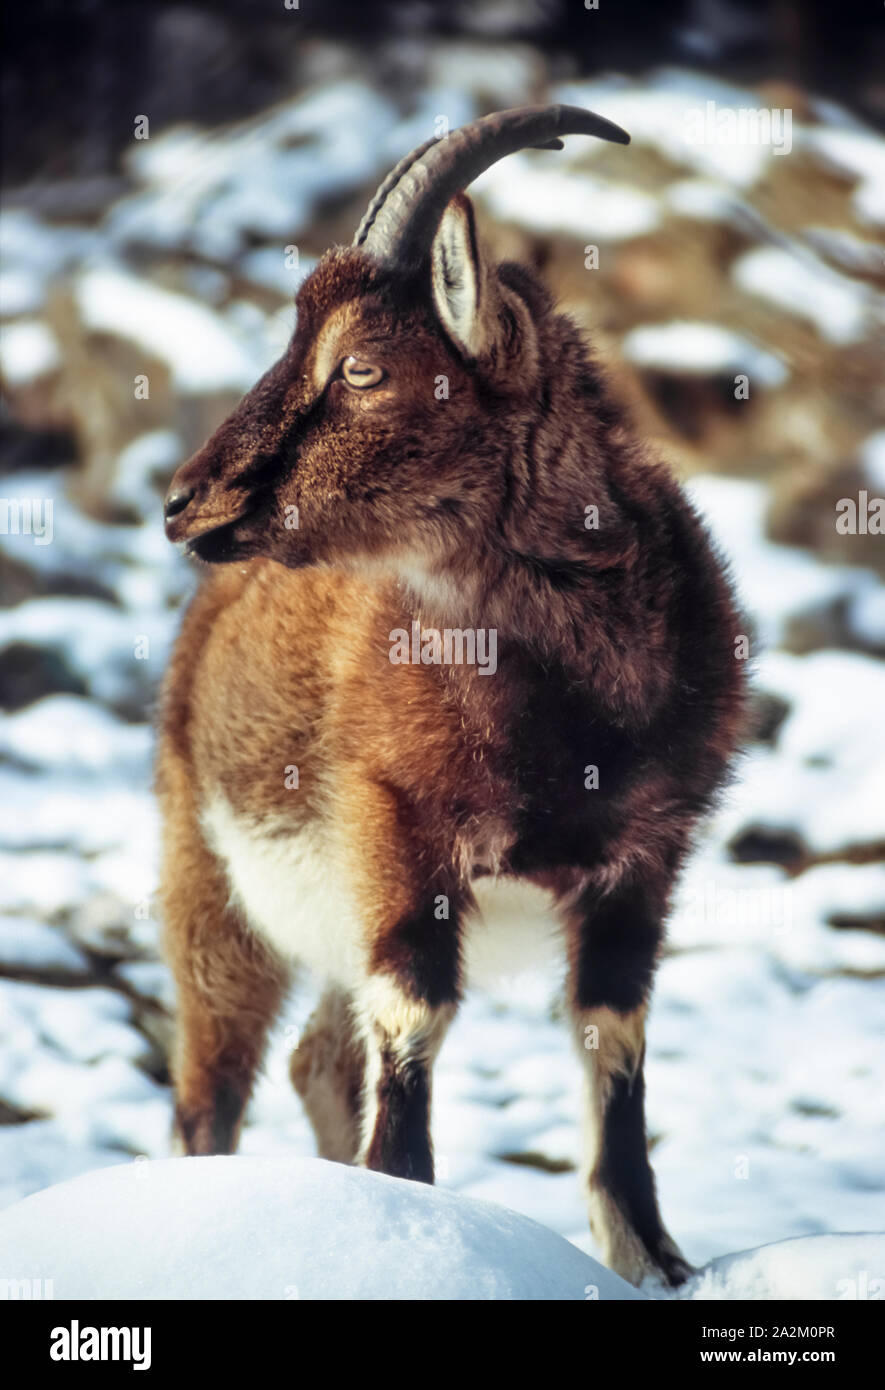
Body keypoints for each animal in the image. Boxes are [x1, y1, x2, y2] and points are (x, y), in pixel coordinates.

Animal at [158, 105, 746, 1288]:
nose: (186, 501)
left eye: (361, 366)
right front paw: (413, 1226)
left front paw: (655, 1258)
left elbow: (614, 1031)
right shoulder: (397, 827)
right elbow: (416, 1017)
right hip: (211, 885)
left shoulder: (648, 857)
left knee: (315, 1059)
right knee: (216, 1087)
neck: (566, 723)